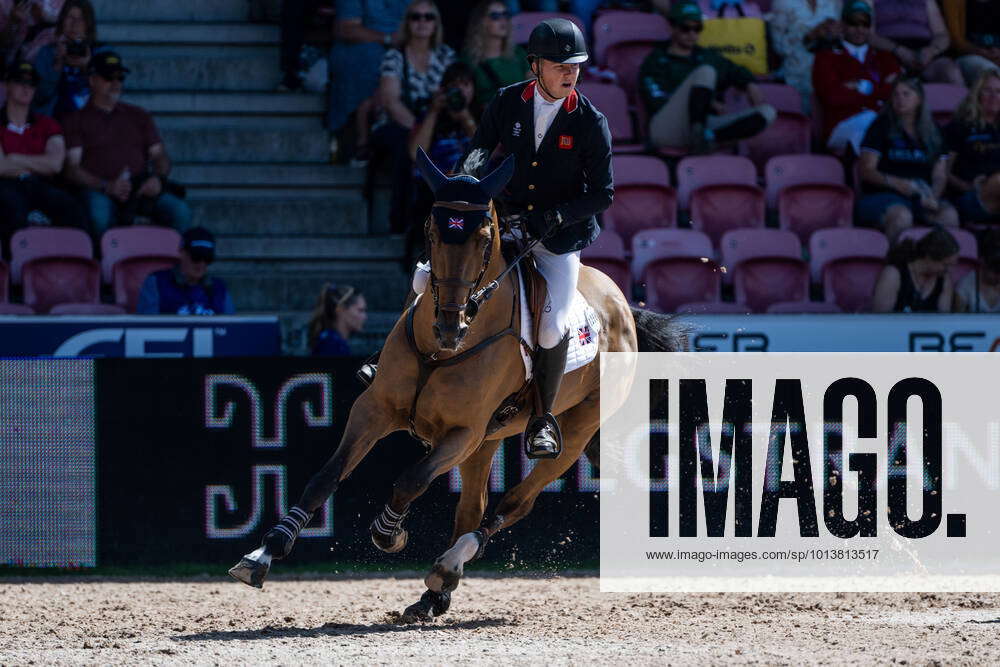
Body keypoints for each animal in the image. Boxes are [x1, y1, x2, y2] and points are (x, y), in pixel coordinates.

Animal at [229, 148, 685, 620]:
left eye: (484, 239)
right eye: (430, 232)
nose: (451, 325)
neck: (442, 351)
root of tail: (622, 303)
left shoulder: (461, 432)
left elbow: (410, 480)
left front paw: (388, 533)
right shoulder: (375, 410)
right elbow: (326, 475)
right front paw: (263, 553)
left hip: (573, 431)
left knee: (514, 503)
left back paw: (450, 562)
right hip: (488, 441)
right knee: (473, 508)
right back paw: (437, 591)